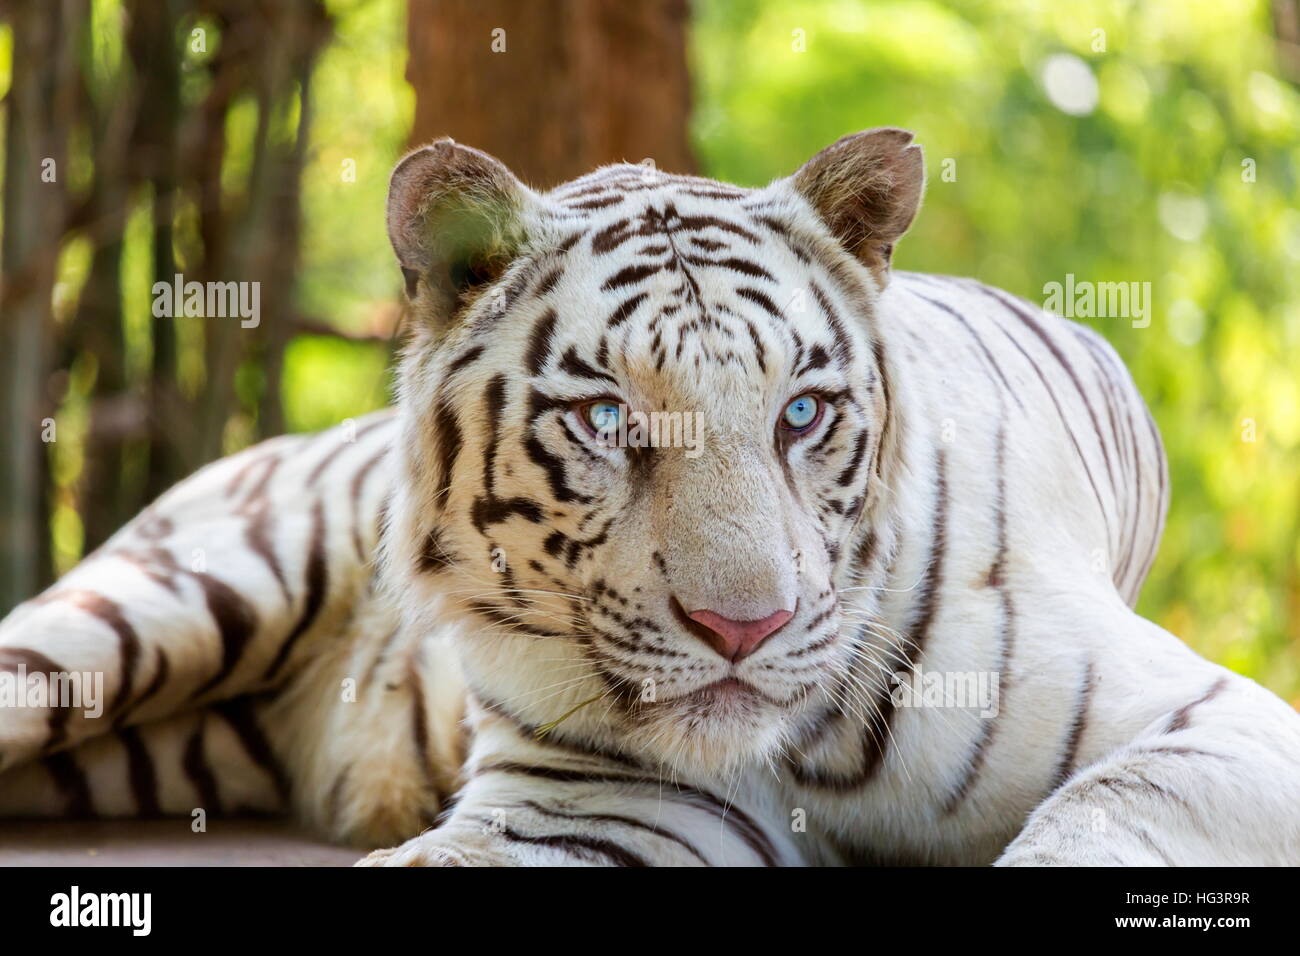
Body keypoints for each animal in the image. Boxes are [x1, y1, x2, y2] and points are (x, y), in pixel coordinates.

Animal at [3, 128, 1299, 866]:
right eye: (607, 418)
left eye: (800, 412)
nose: (745, 627)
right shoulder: (585, 800)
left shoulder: (1218, 724)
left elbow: (1093, 814)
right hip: (149, 613)